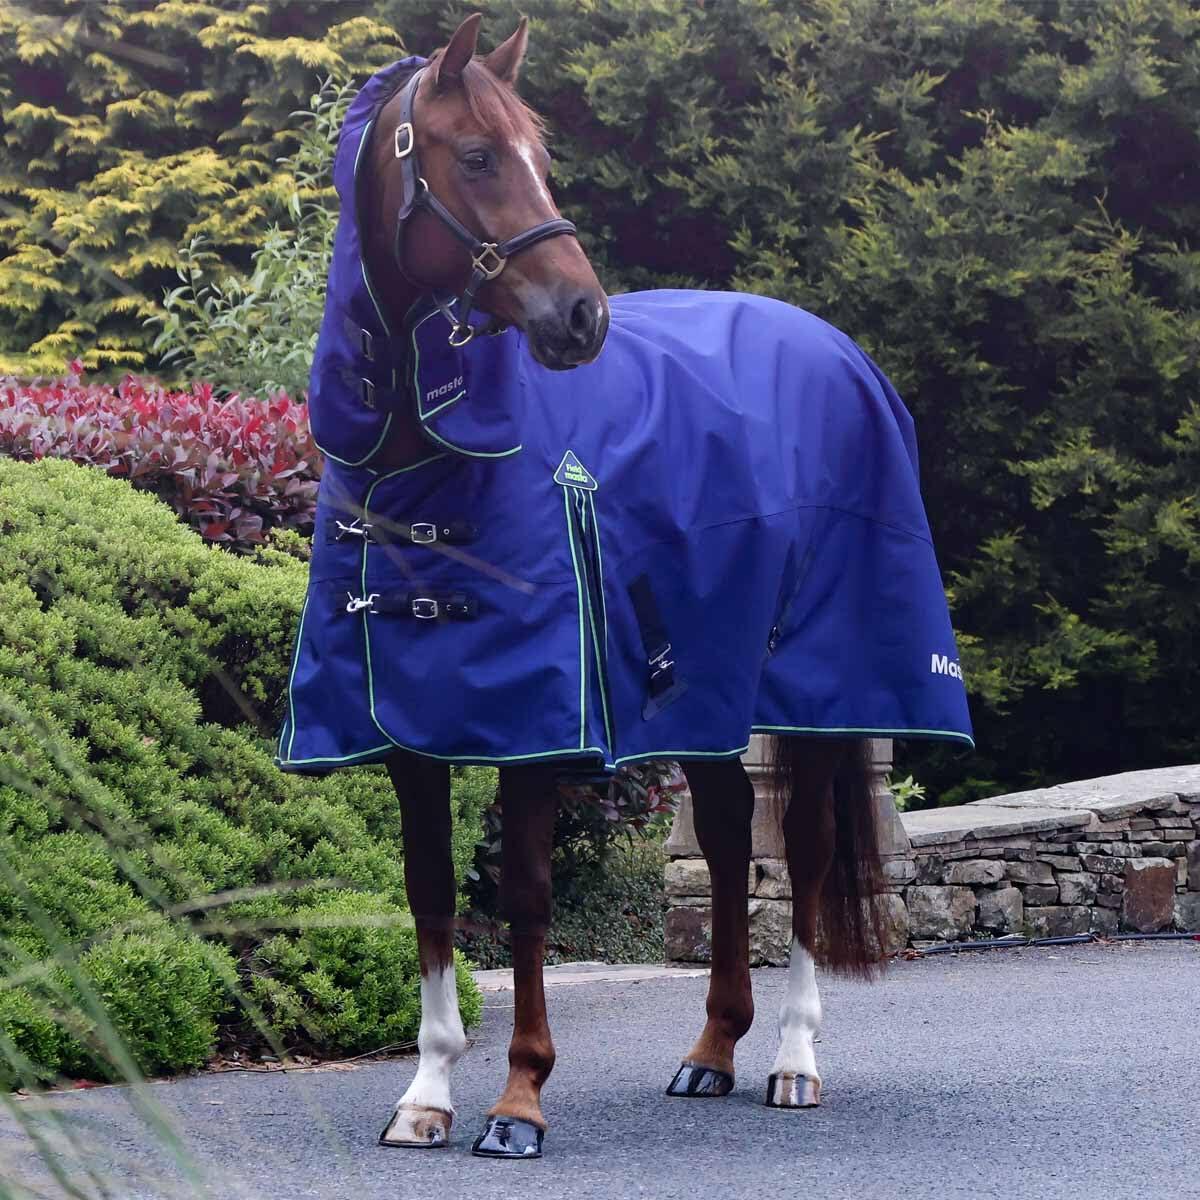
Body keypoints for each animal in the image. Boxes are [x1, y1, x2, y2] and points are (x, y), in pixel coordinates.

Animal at [276, 14, 972, 1159]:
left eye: (540, 157)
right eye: (478, 156)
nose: (581, 317)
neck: (422, 459)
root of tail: (839, 353)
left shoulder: (535, 731)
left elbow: (527, 896)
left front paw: (518, 1101)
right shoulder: (409, 733)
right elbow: (431, 894)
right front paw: (425, 1092)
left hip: (822, 691)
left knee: (810, 858)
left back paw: (792, 1060)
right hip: (708, 691)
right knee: (732, 837)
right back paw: (712, 1052)